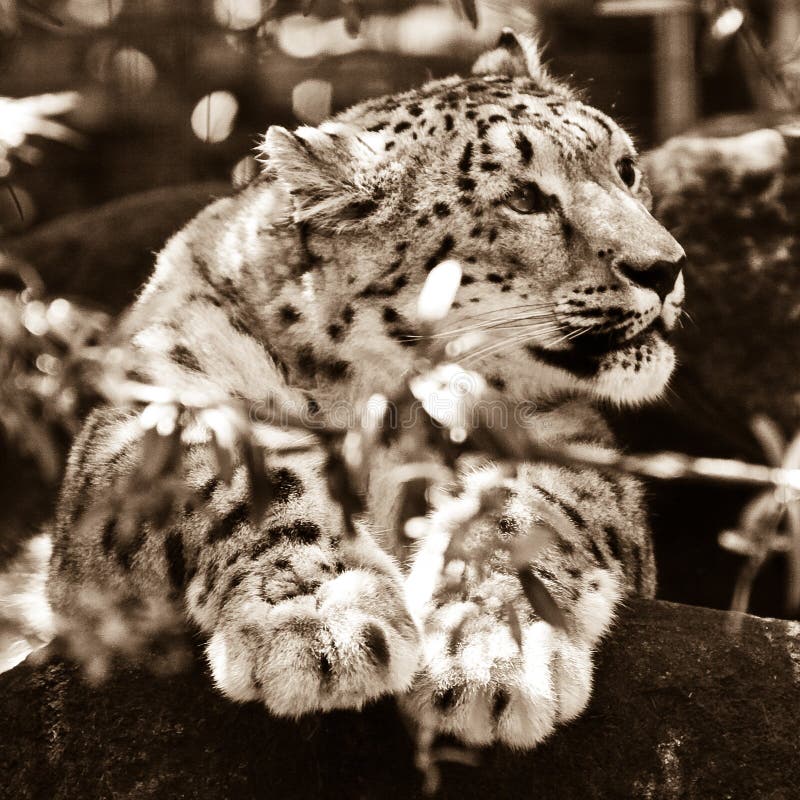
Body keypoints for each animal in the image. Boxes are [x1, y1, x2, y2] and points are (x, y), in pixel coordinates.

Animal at [47, 29, 686, 749]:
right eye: (525, 199)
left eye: (625, 168)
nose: (666, 267)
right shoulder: (155, 400)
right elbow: (246, 480)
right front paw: (323, 625)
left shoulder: (566, 435)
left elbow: (527, 513)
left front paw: (487, 657)